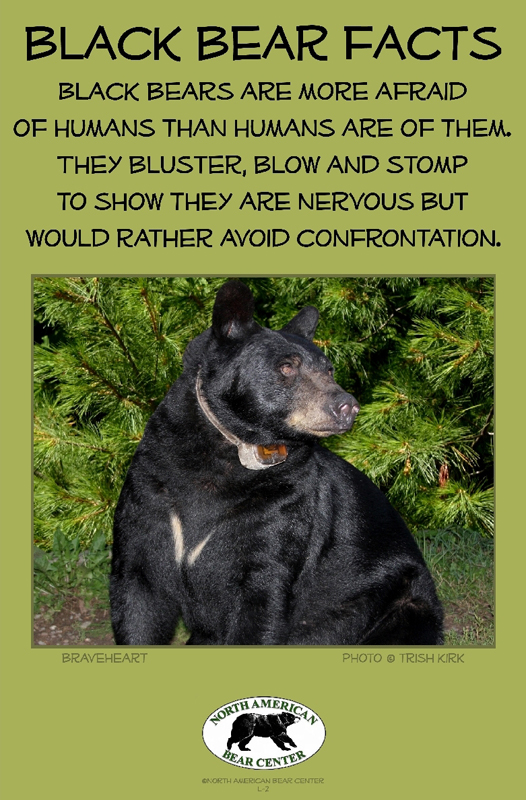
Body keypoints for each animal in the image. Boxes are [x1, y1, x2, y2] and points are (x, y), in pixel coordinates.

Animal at [110, 279, 443, 646]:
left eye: (329, 369)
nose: (347, 406)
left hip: (403, 600)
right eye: (287, 366)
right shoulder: (152, 494)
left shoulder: (281, 508)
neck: (232, 450)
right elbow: (138, 593)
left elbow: (262, 597)